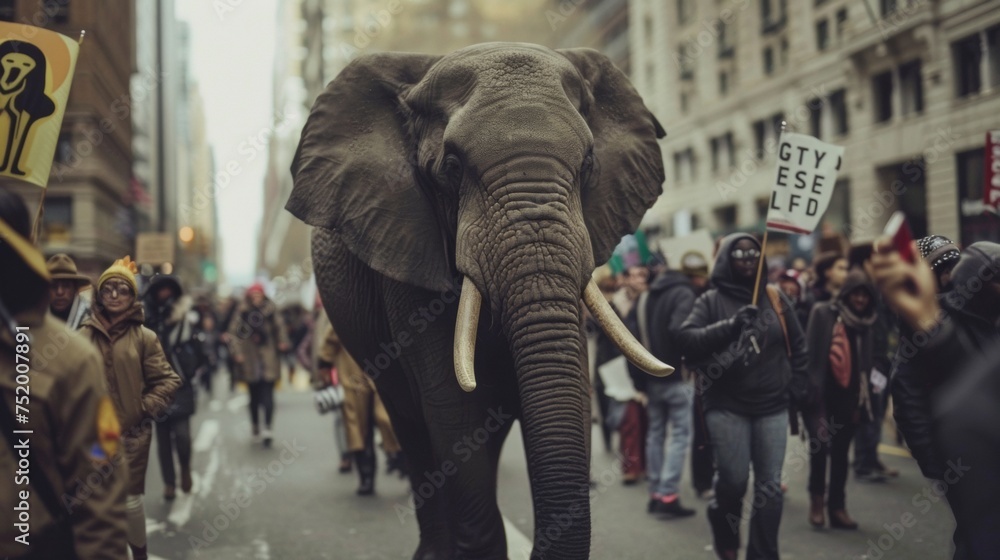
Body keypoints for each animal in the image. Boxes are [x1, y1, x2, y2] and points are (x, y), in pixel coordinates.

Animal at [287, 43, 673, 560]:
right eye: (451, 168)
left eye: (589, 164)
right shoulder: (408, 249)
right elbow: (454, 408)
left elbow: (564, 390)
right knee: (411, 425)